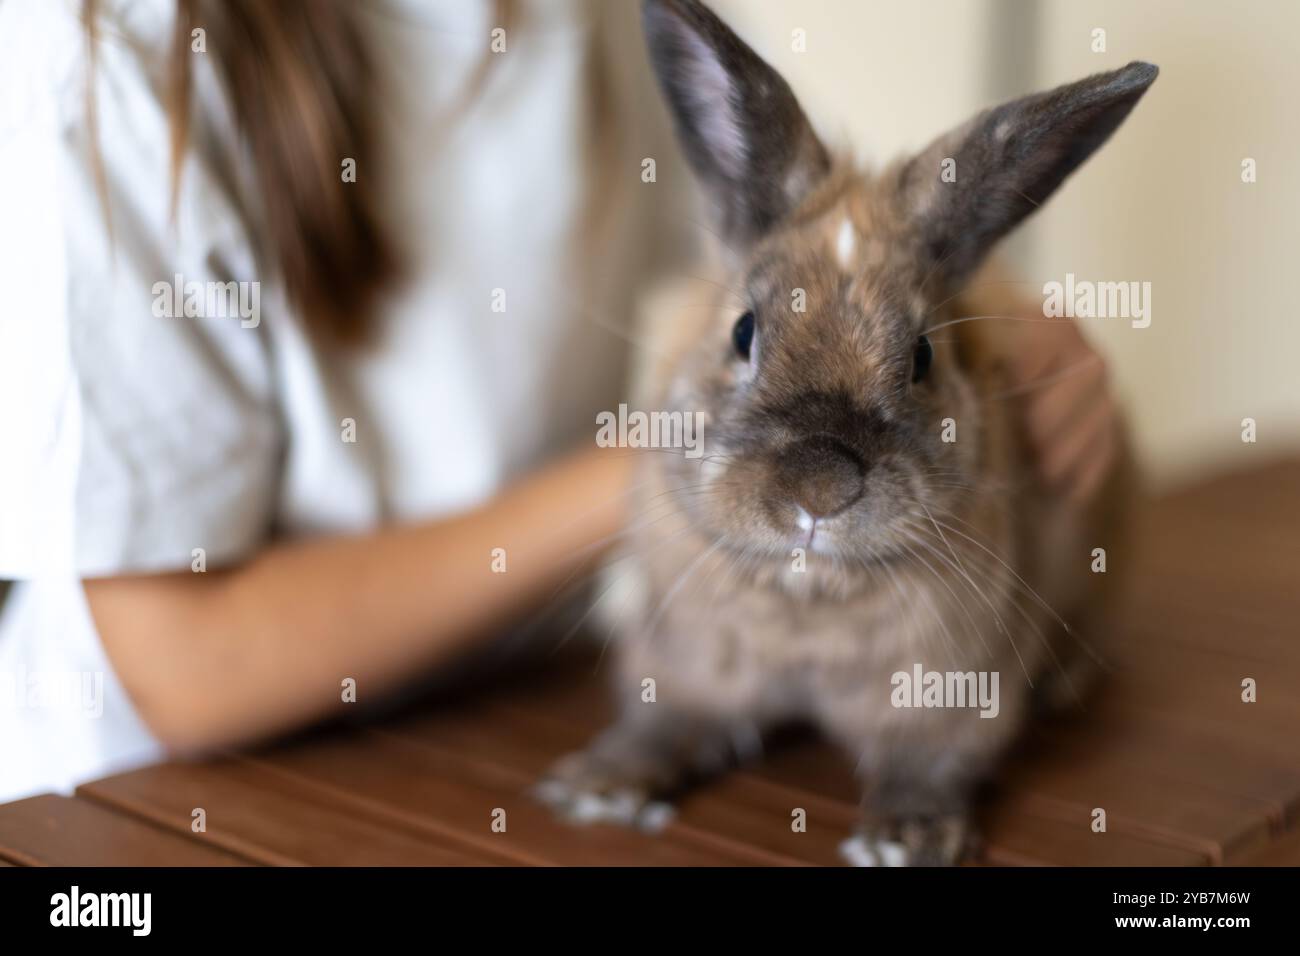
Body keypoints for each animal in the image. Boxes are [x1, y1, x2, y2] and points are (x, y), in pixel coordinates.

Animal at [536, 0, 1153, 865]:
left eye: (924, 355)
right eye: (743, 331)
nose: (820, 488)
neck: (810, 598)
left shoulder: (956, 690)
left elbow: (929, 761)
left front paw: (909, 838)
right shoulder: (682, 664)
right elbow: (666, 722)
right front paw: (599, 787)